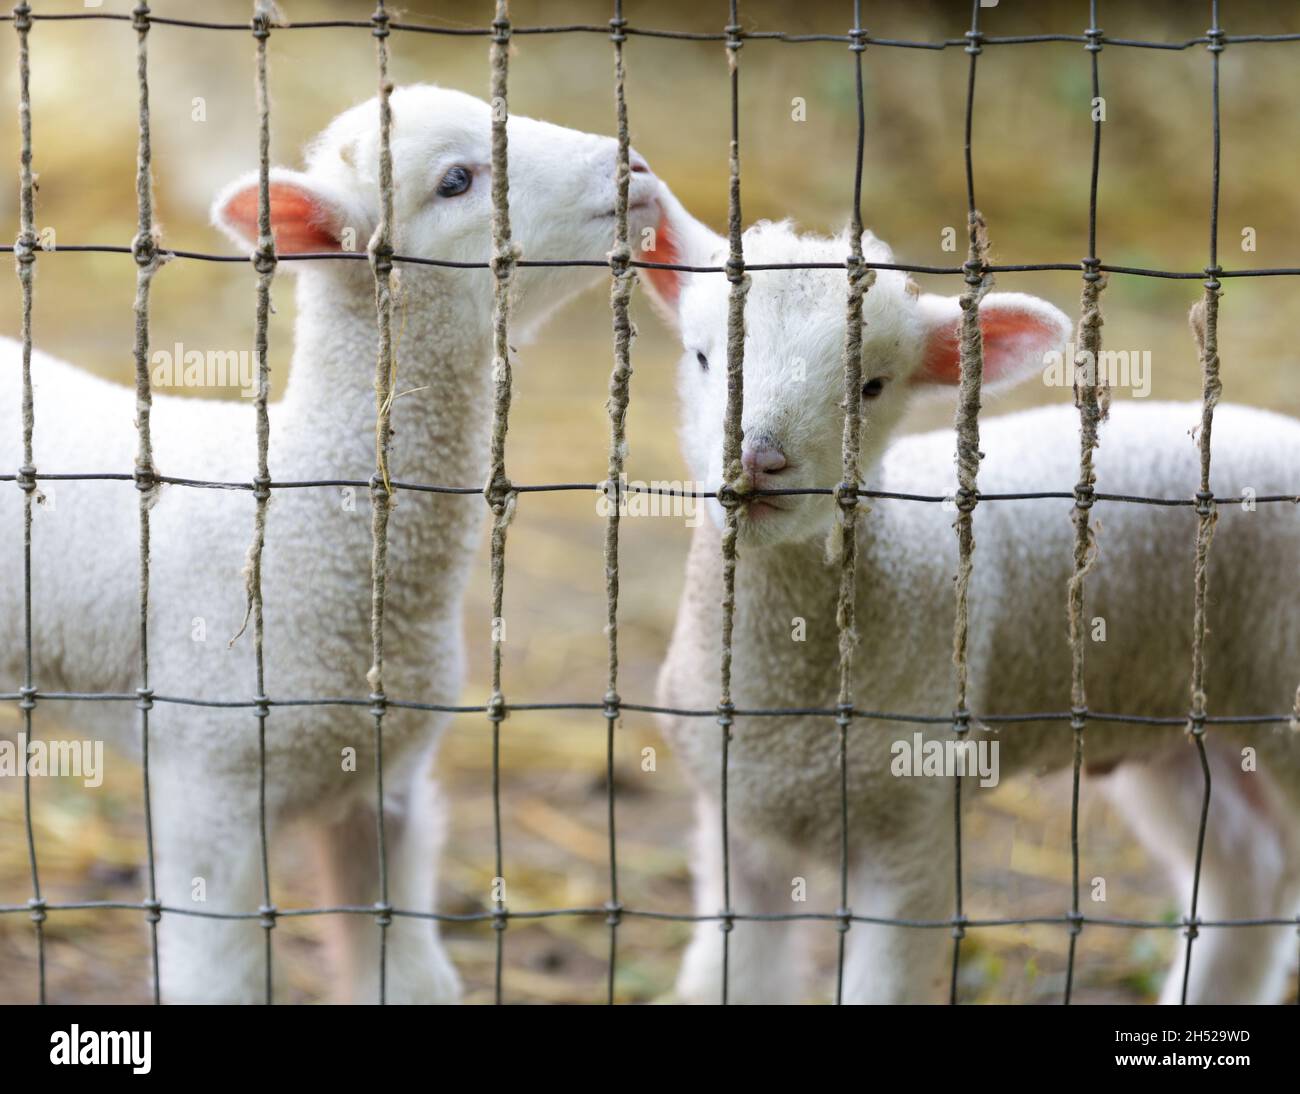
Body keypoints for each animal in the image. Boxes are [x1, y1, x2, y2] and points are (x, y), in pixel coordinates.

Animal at [0, 84, 660, 1003]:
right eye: (455, 181)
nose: (635, 168)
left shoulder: (388, 787)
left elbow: (412, 980)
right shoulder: (209, 780)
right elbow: (221, 980)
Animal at [643, 188, 1300, 1005]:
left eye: (872, 386)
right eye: (702, 356)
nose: (759, 460)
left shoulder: (913, 834)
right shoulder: (738, 825)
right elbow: (730, 975)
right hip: (1174, 726)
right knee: (1250, 873)